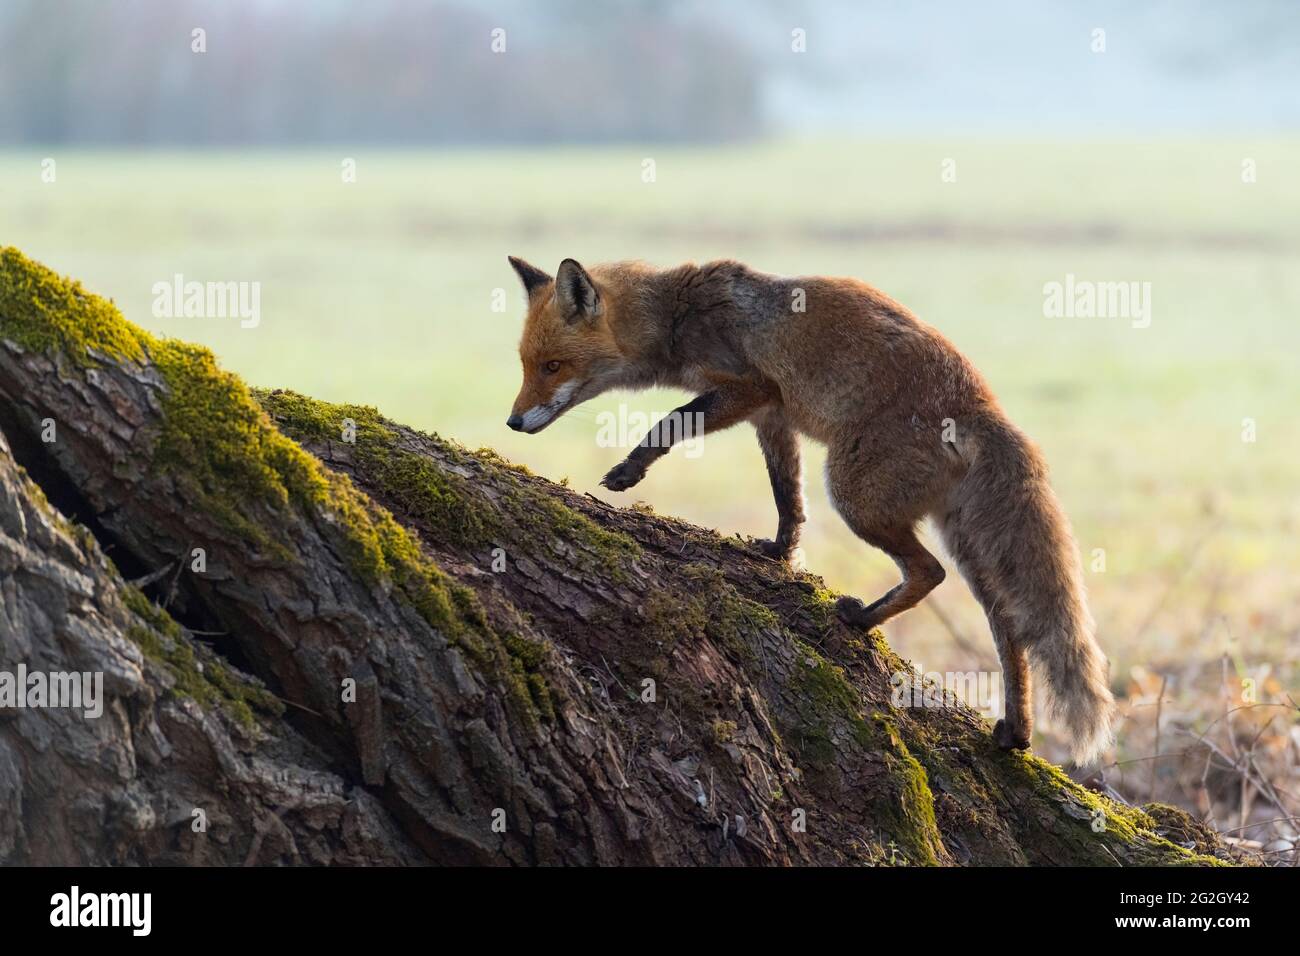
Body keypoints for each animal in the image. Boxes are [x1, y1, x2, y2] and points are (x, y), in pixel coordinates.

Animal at [505, 255, 1115, 765]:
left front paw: (630, 470)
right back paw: (1016, 732)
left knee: (929, 573)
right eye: (525, 365)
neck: (678, 314)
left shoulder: (750, 389)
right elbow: (786, 498)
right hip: (962, 540)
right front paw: (780, 552)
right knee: (1008, 624)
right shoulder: (773, 414)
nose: (512, 422)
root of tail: (984, 408)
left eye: (552, 366)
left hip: (853, 496)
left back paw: (861, 620)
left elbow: (668, 422)